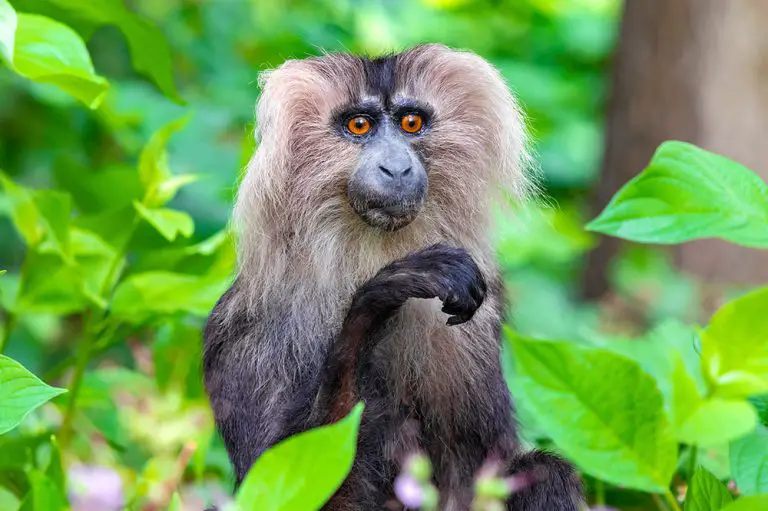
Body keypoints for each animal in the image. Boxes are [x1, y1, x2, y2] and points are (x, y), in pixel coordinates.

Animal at [203, 44, 583, 510]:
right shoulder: (248, 326)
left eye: (411, 123)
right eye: (359, 125)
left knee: (547, 475)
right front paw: (385, 291)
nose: (397, 169)